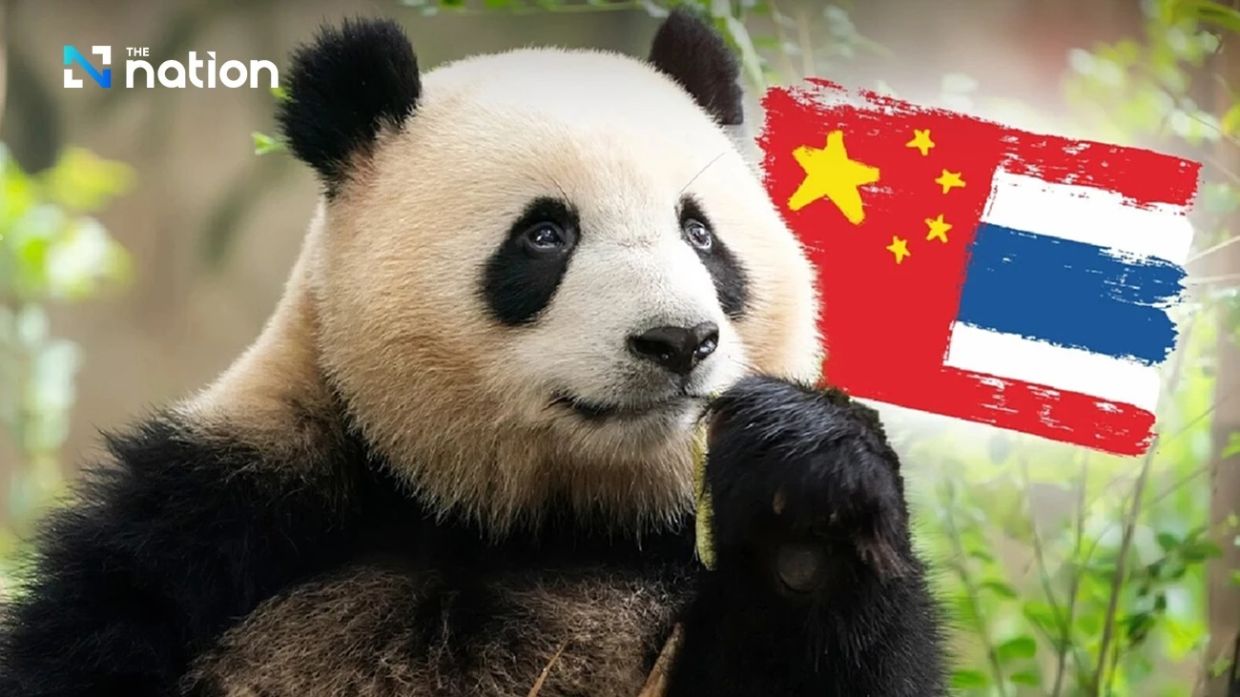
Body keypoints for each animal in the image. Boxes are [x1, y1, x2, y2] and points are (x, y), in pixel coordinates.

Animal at [0, 11, 944, 697]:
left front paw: (804, 505)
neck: (523, 518)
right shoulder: (220, 511)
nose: (679, 340)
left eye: (701, 232)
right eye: (545, 234)